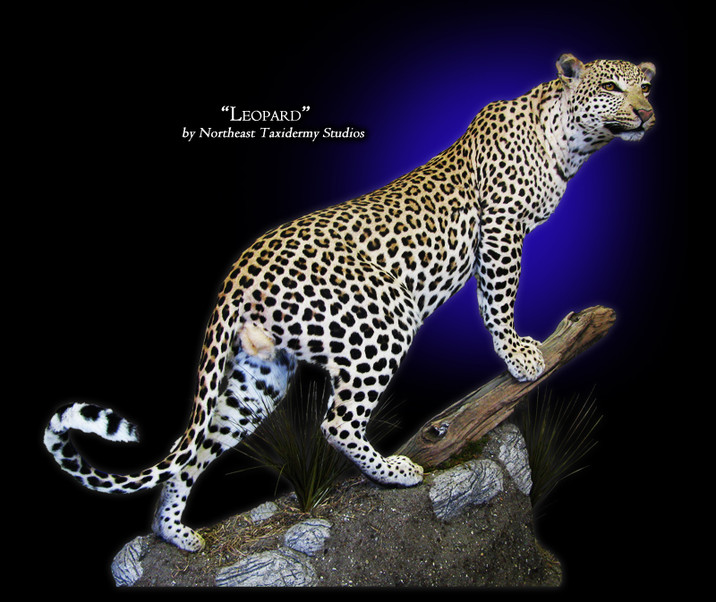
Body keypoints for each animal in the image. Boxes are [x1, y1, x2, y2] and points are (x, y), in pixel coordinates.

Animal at [44, 54, 655, 552]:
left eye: (645, 86)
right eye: (612, 86)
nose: (647, 114)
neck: (571, 141)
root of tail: (237, 272)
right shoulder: (502, 231)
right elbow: (497, 299)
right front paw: (519, 356)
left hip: (258, 375)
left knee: (196, 451)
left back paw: (175, 534)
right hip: (384, 320)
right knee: (336, 422)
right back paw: (395, 470)